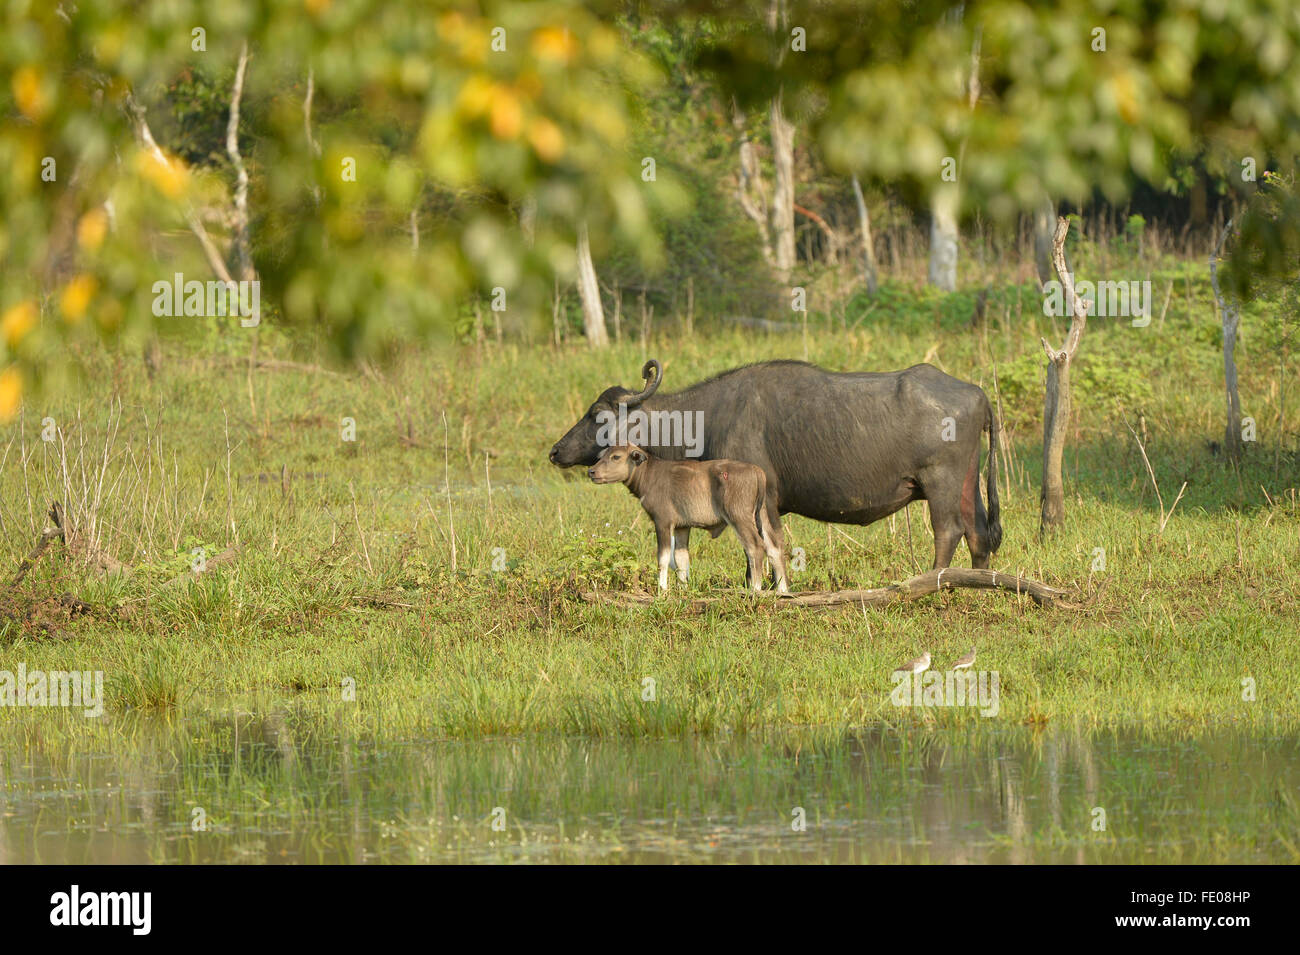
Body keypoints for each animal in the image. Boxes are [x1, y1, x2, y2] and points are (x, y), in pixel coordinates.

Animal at [550, 358, 1001, 573]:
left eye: (596, 415)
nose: (555, 451)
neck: (707, 415)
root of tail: (977, 394)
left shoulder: (758, 502)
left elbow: (763, 547)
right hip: (968, 483)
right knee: (979, 535)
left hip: (940, 483)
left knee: (949, 532)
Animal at [588, 444, 788, 592]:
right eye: (604, 455)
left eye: (616, 457)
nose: (591, 471)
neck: (649, 475)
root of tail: (756, 471)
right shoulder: (682, 527)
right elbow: (681, 559)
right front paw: (682, 588)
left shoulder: (662, 522)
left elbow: (663, 558)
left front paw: (662, 589)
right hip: (763, 514)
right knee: (774, 547)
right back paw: (782, 590)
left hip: (739, 516)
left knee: (755, 546)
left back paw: (755, 589)